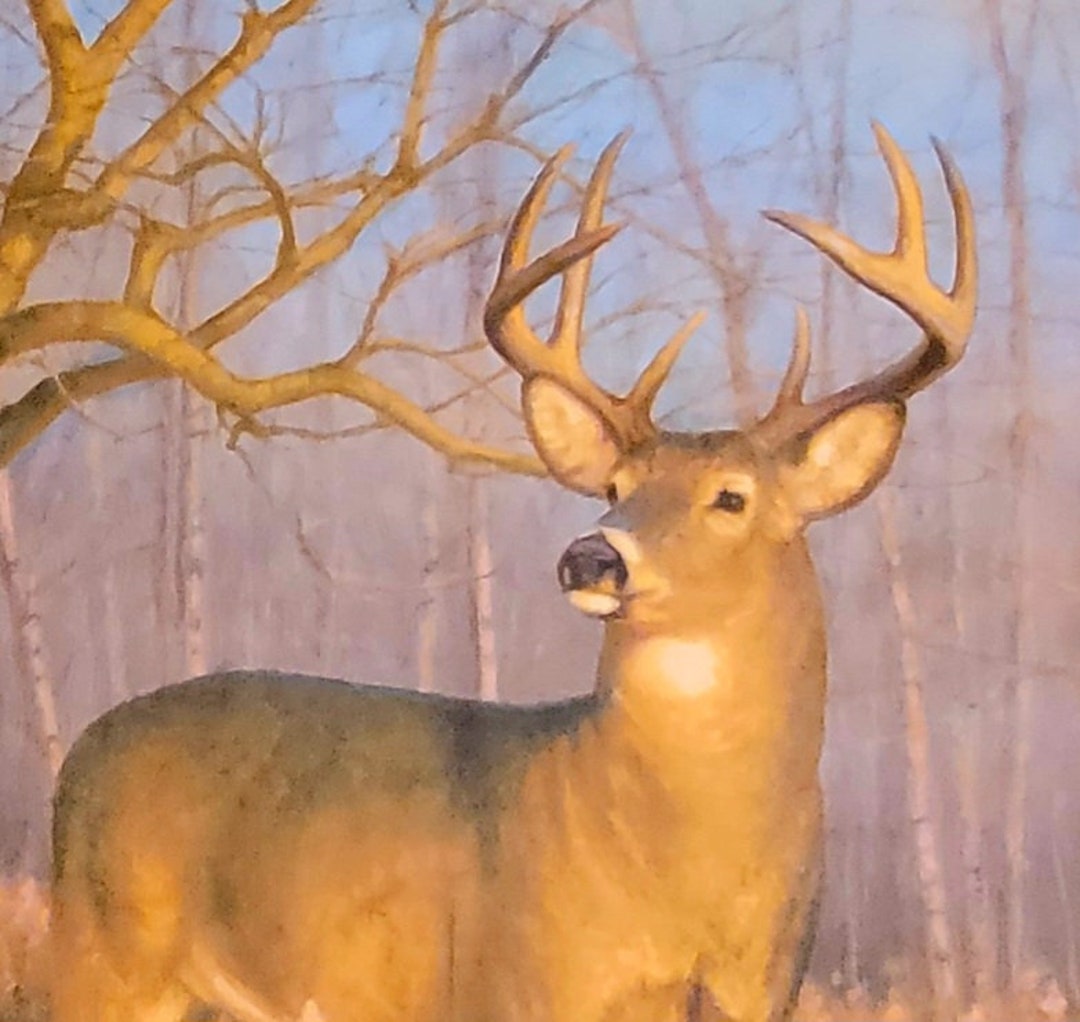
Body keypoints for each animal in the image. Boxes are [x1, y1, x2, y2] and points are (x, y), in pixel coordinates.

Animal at [50, 124, 975, 1022]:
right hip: (105, 957)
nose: (591, 555)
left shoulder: (764, 992)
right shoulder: (517, 982)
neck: (688, 885)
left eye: (731, 497)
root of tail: (77, 755)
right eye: (615, 488)